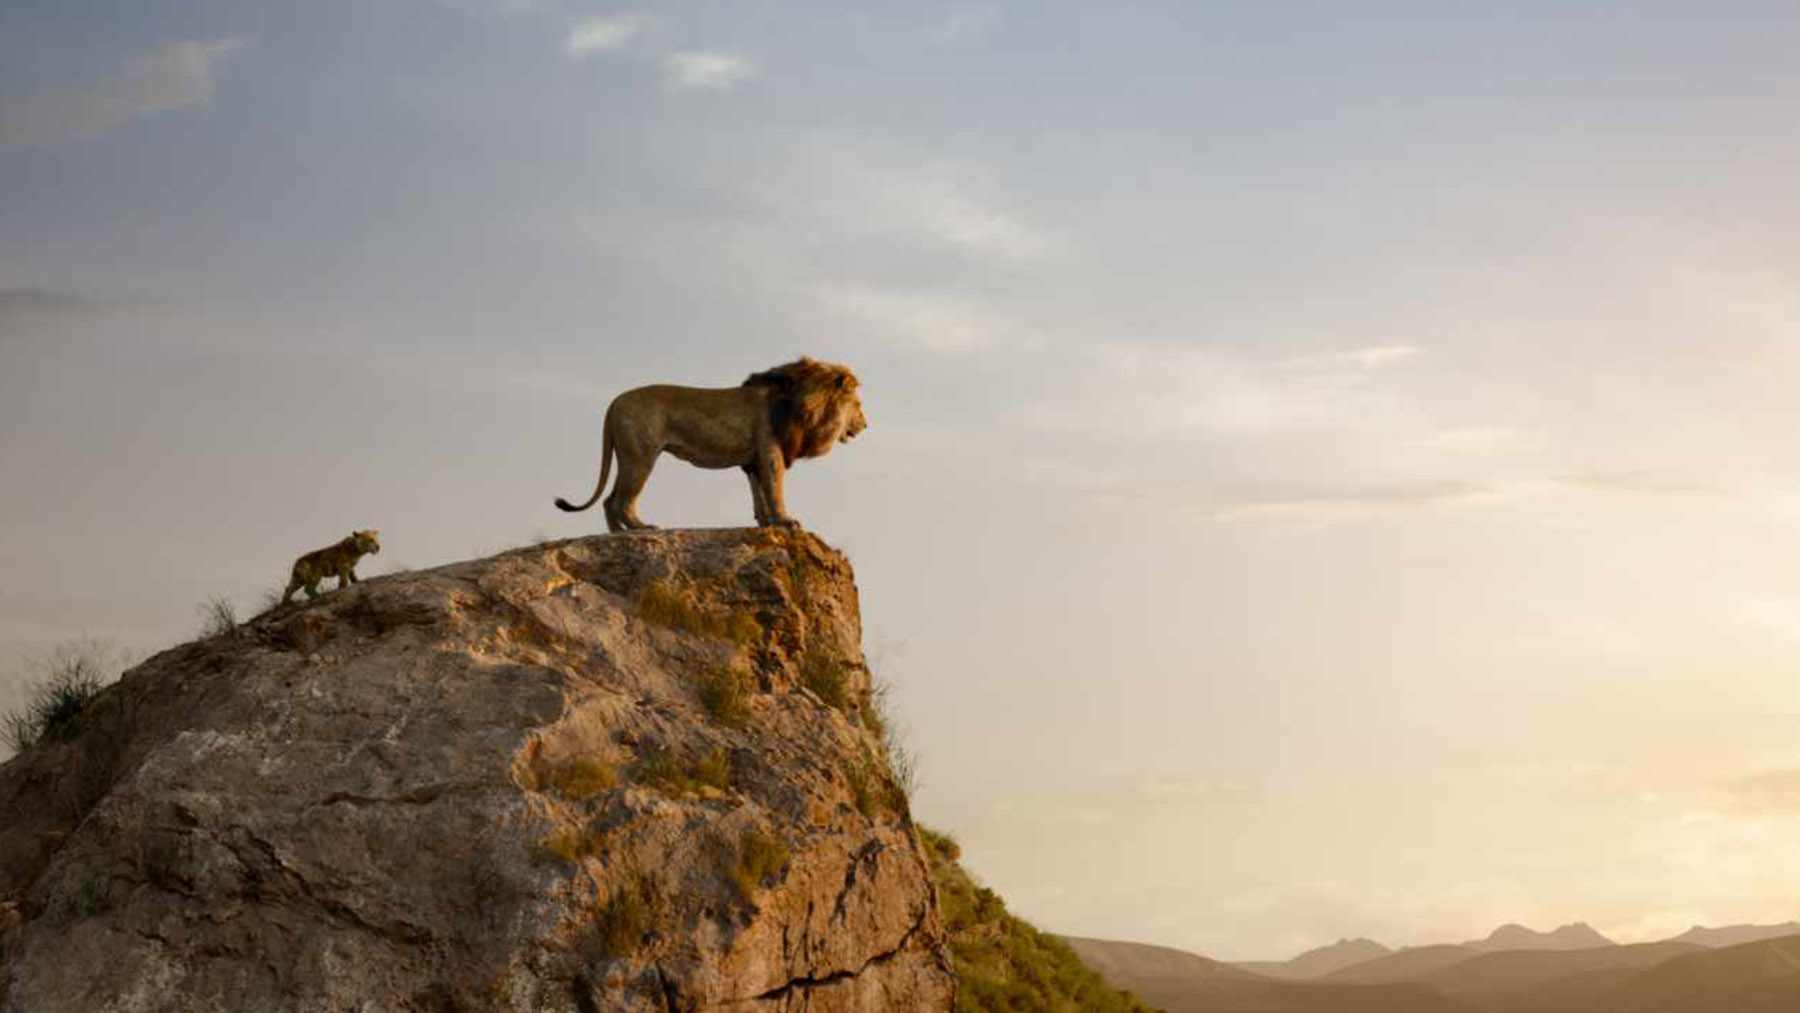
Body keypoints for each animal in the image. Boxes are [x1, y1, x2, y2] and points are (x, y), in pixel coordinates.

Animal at [554, 357, 867, 532]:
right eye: (858, 405)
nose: (866, 424)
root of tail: (614, 402)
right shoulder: (771, 451)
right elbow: (775, 489)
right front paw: (786, 522)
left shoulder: (753, 459)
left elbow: (759, 493)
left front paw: (766, 523)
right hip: (641, 457)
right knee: (622, 501)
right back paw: (641, 528)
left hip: (627, 456)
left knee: (609, 501)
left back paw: (618, 535)